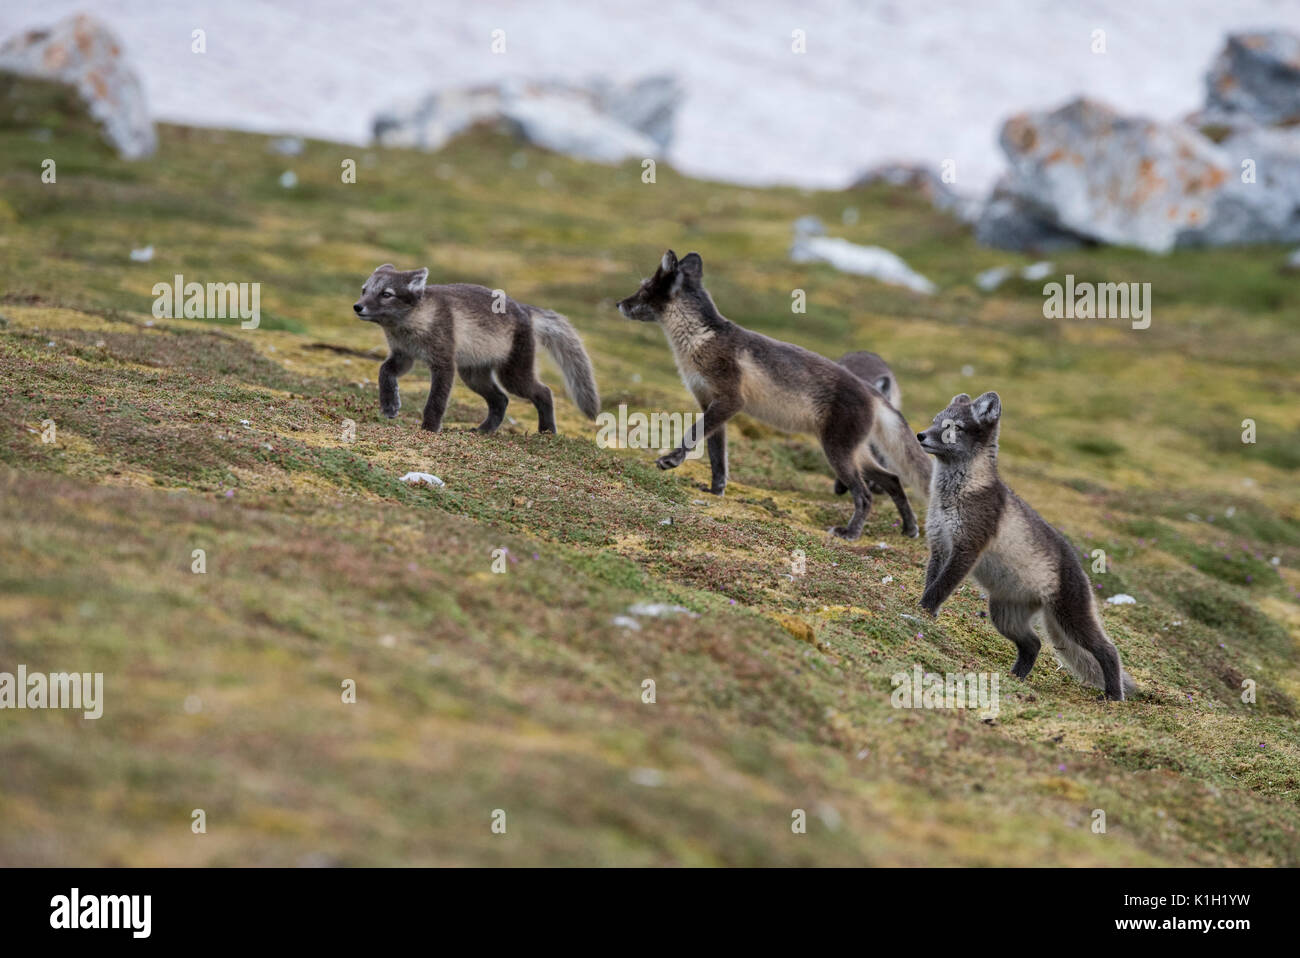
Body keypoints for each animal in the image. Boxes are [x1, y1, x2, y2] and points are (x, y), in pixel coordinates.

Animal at [353, 265, 600, 433]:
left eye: (386, 294)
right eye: (364, 290)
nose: (357, 306)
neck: (411, 325)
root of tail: (525, 309)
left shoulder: (444, 362)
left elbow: (436, 401)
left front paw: (429, 428)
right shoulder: (403, 356)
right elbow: (384, 371)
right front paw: (389, 405)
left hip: (513, 375)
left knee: (544, 392)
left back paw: (547, 432)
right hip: (473, 375)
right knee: (501, 400)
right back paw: (484, 431)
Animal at [616, 250, 931, 539]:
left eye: (643, 289)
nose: (618, 303)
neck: (699, 339)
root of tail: (872, 391)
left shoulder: (730, 401)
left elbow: (692, 434)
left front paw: (672, 460)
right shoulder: (710, 404)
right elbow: (718, 459)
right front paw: (715, 492)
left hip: (837, 452)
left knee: (866, 495)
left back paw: (850, 533)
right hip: (855, 452)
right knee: (893, 479)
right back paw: (910, 529)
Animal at [916, 391, 1137, 700]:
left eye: (953, 427)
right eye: (936, 421)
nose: (920, 435)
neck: (954, 494)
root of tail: (1080, 568)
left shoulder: (967, 548)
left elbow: (940, 587)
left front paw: (923, 611)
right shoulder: (939, 545)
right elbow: (931, 582)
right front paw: (927, 614)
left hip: (1071, 618)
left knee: (1108, 649)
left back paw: (1113, 696)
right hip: (1004, 613)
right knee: (1034, 644)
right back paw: (1015, 677)